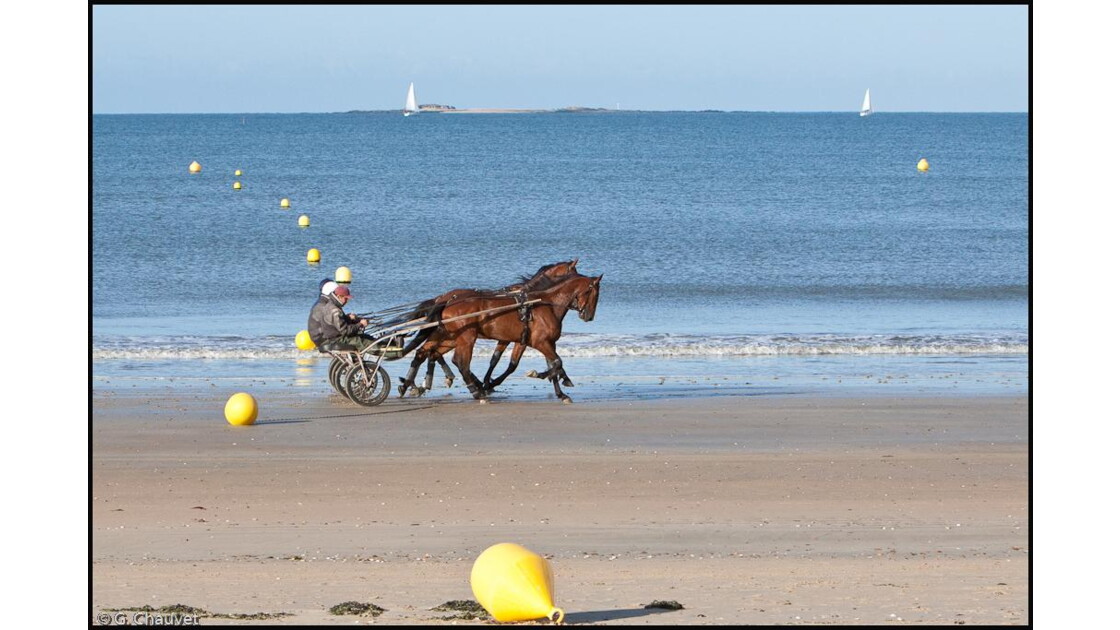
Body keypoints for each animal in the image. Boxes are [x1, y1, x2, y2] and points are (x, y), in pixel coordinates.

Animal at [398, 259, 580, 396]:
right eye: (574, 272)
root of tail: (442, 299)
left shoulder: (509, 337)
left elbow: (496, 359)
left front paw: (487, 382)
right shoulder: (516, 337)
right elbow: (507, 363)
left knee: (429, 353)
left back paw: (416, 384)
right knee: (433, 353)